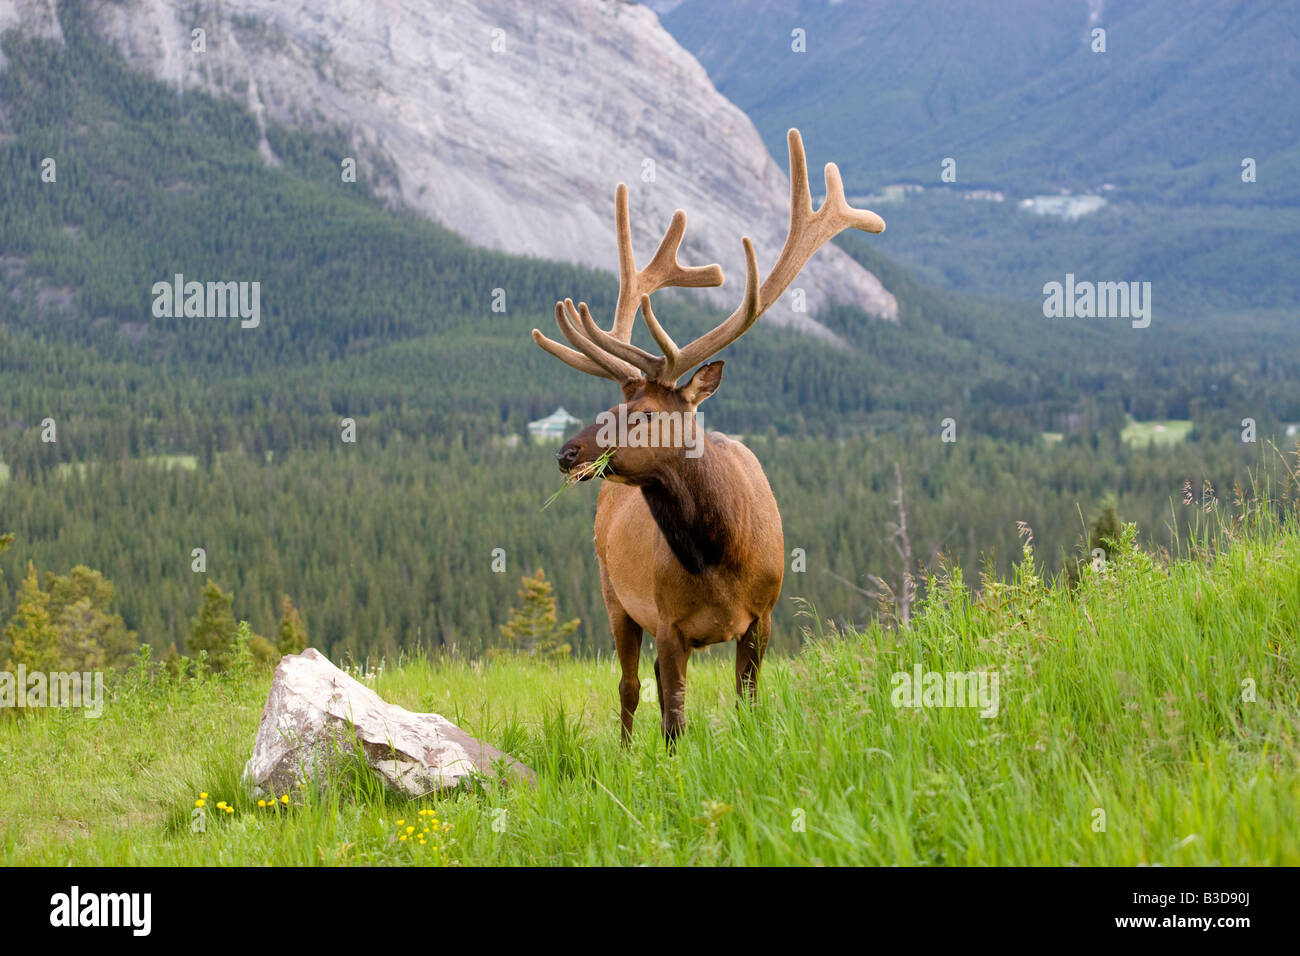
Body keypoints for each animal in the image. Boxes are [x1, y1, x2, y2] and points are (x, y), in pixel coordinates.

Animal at [532, 129, 885, 745]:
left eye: (646, 413)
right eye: (615, 404)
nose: (566, 452)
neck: (720, 565)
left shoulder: (762, 617)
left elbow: (746, 703)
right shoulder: (669, 622)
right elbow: (674, 721)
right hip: (613, 595)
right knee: (629, 687)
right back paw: (625, 754)